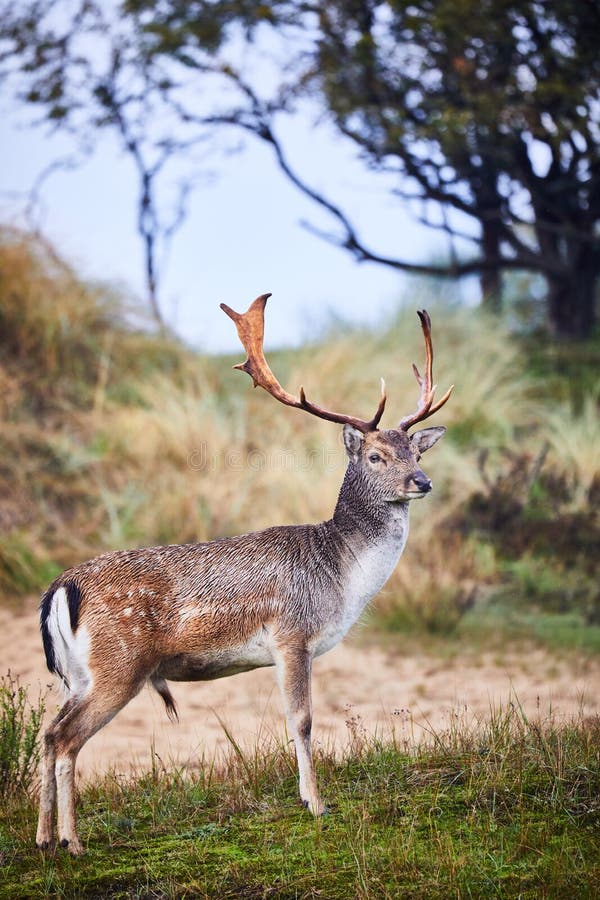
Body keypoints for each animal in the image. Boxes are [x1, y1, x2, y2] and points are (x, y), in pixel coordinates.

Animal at [35, 294, 452, 855]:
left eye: (416, 451)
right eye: (375, 455)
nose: (422, 481)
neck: (342, 575)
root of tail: (62, 588)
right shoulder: (292, 633)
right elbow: (302, 719)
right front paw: (316, 803)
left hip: (76, 675)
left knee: (45, 731)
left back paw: (42, 837)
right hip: (117, 667)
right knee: (65, 738)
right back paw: (72, 842)